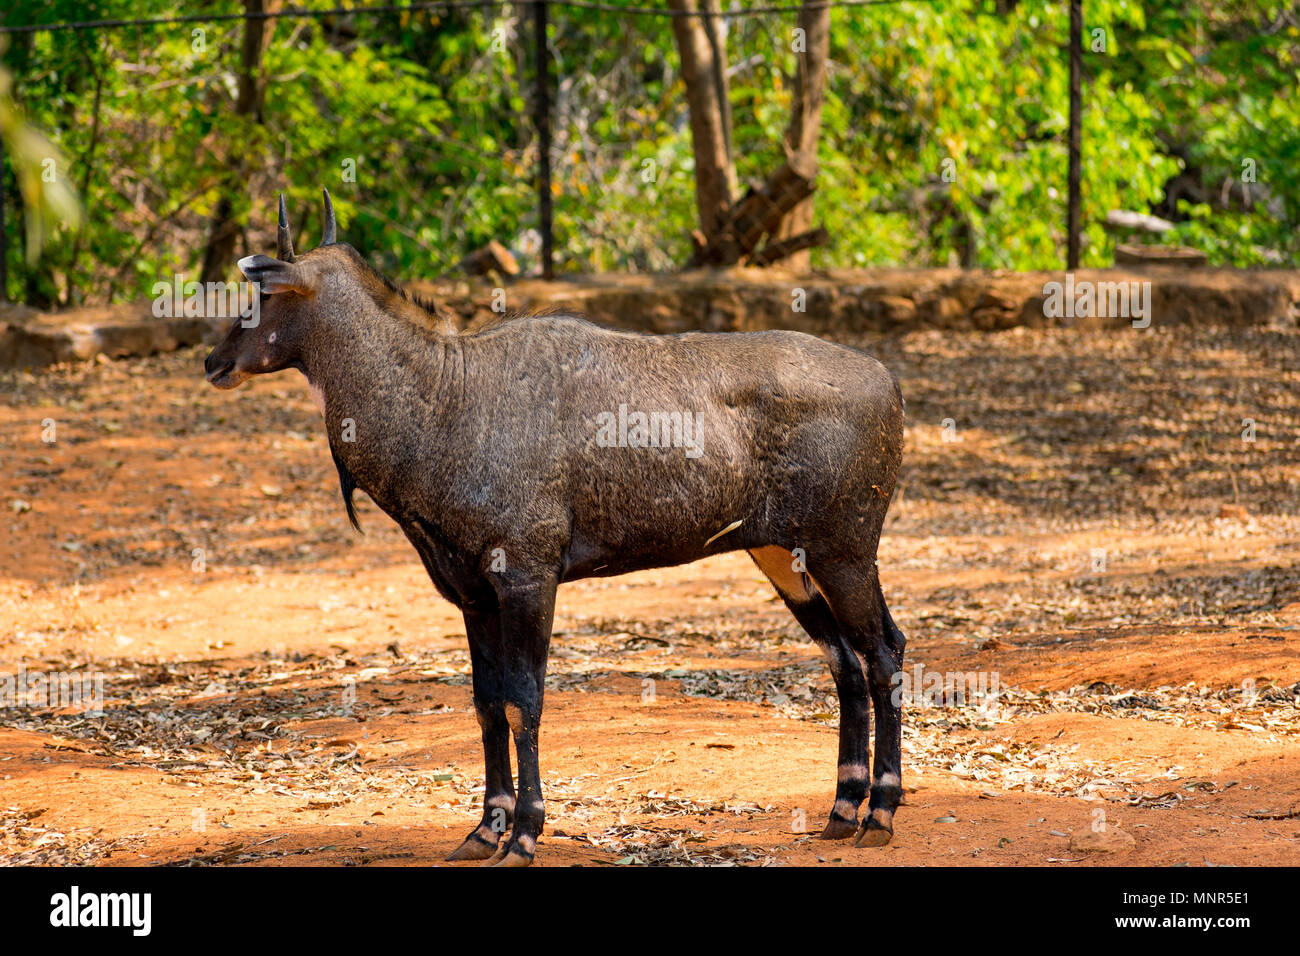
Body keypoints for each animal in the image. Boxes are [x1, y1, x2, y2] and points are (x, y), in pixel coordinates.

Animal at [203, 191, 909, 867]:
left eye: (265, 294)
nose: (213, 360)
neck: (447, 399)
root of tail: (888, 381)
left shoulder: (529, 576)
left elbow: (524, 699)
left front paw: (523, 836)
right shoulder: (472, 593)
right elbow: (486, 703)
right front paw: (483, 831)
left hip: (844, 552)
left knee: (883, 652)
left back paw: (880, 813)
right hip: (783, 556)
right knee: (843, 659)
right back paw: (841, 809)